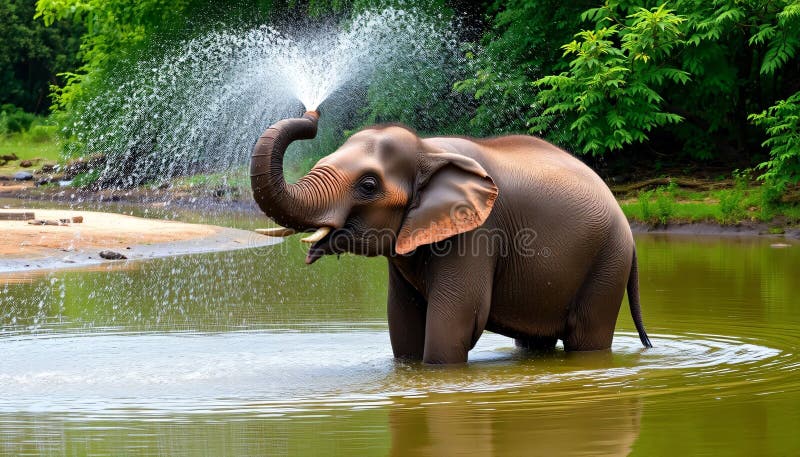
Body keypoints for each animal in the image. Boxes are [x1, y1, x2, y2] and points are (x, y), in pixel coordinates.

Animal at [251, 110, 652, 364]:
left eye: (368, 185)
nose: (313, 115)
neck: (427, 148)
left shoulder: (478, 232)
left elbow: (457, 318)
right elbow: (403, 320)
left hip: (608, 261)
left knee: (587, 336)